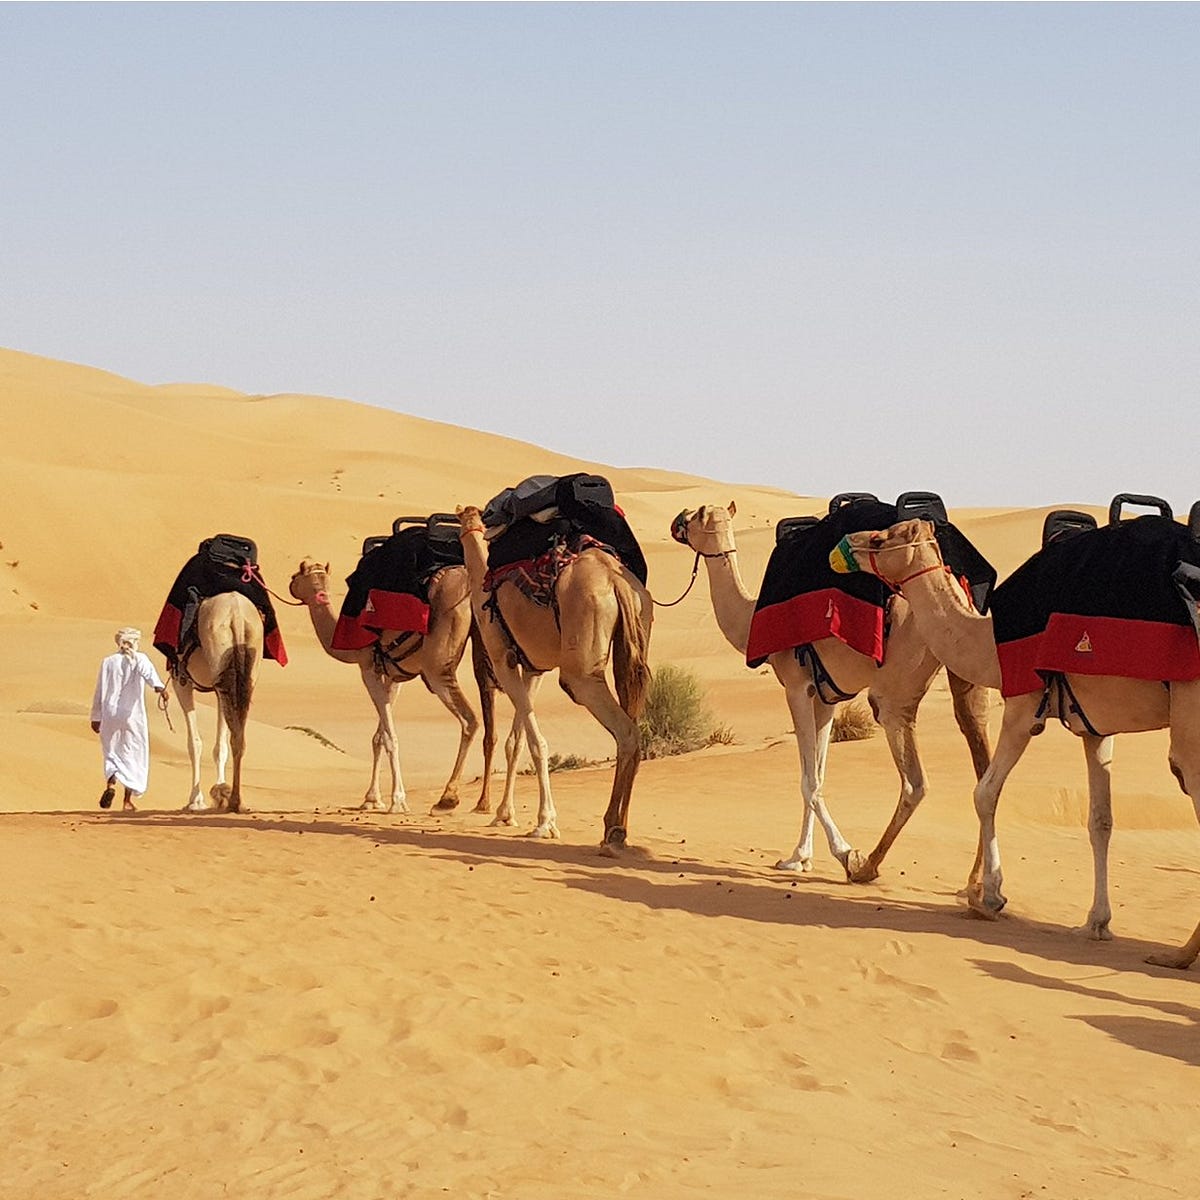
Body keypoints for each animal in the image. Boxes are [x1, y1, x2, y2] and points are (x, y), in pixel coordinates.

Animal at [171, 593, 262, 813]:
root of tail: (236, 612)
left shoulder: (182, 683)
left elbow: (194, 743)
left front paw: (195, 800)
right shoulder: (217, 687)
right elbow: (220, 746)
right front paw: (218, 790)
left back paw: (231, 799)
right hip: (245, 670)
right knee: (238, 735)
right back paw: (235, 800)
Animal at [289, 558, 497, 815]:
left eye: (296, 576)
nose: (290, 584)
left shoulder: (367, 669)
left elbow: (389, 736)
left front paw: (397, 801)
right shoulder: (392, 676)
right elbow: (379, 736)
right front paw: (371, 799)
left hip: (437, 667)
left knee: (470, 719)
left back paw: (447, 798)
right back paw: (485, 804)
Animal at [455, 505, 652, 848]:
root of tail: (616, 582)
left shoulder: (503, 660)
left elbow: (536, 742)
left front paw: (544, 822)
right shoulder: (534, 668)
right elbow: (516, 741)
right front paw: (505, 814)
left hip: (581, 670)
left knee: (626, 732)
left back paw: (612, 830)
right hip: (637, 637)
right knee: (633, 725)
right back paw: (620, 829)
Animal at [672, 502, 993, 881]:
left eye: (695, 516)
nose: (678, 520)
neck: (749, 618)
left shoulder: (796, 686)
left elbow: (808, 781)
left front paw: (842, 853)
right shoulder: (825, 697)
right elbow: (819, 775)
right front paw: (799, 857)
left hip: (895, 691)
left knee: (915, 782)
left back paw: (867, 866)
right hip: (966, 673)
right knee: (982, 761)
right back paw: (975, 884)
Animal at [830, 516, 1200, 969]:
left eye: (882, 539)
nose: (842, 545)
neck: (989, 644)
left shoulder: (1023, 706)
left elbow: (984, 793)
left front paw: (988, 897)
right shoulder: (1094, 728)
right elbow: (1100, 820)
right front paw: (1095, 923)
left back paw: (1179, 955)